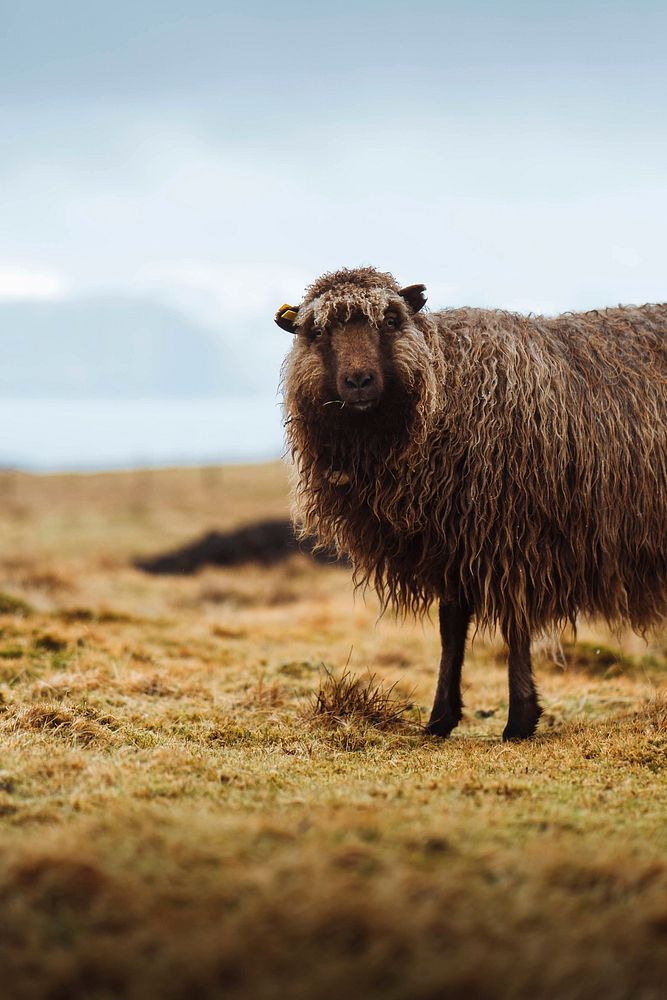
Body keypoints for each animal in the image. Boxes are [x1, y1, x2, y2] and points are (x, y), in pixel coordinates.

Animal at [276, 266, 667, 740]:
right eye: (314, 331)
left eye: (391, 320)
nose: (359, 381)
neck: (447, 393)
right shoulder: (450, 540)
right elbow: (452, 626)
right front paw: (440, 718)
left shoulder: (517, 533)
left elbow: (516, 625)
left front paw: (520, 718)